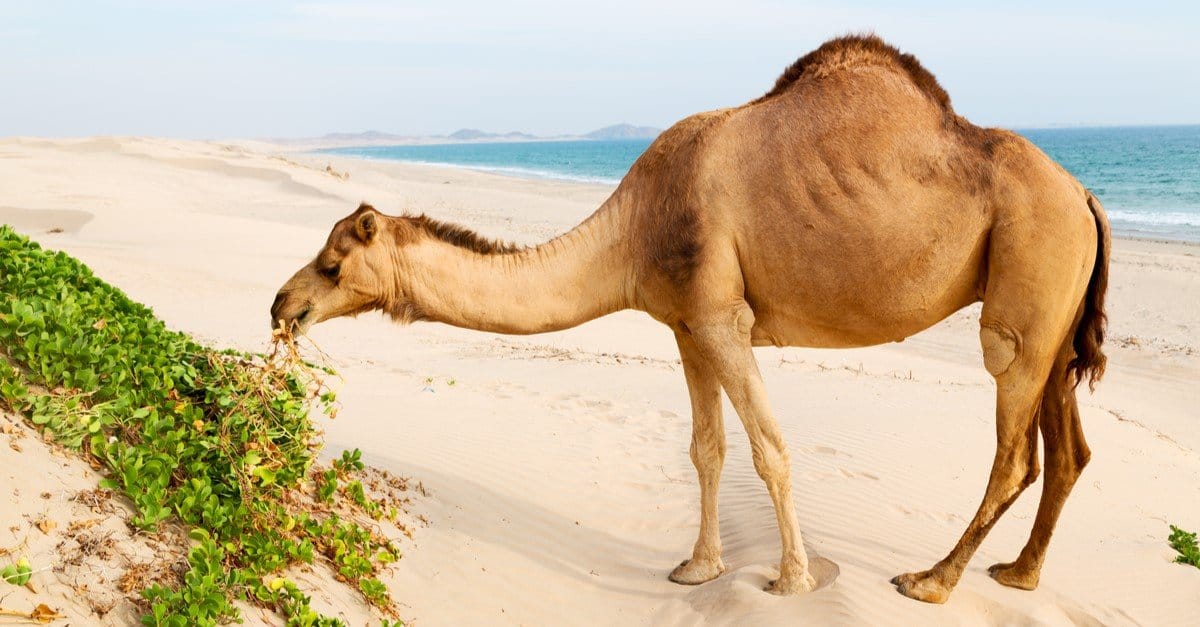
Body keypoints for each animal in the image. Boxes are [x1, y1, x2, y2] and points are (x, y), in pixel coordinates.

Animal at [271, 34, 1109, 603]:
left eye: (334, 262)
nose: (282, 305)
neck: (635, 225)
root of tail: (1084, 194)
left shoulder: (721, 317)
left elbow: (769, 448)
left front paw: (793, 578)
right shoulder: (684, 326)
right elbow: (707, 449)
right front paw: (697, 567)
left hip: (1025, 294)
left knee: (1015, 450)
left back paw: (932, 579)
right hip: (1058, 317)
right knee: (1069, 448)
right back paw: (1019, 573)